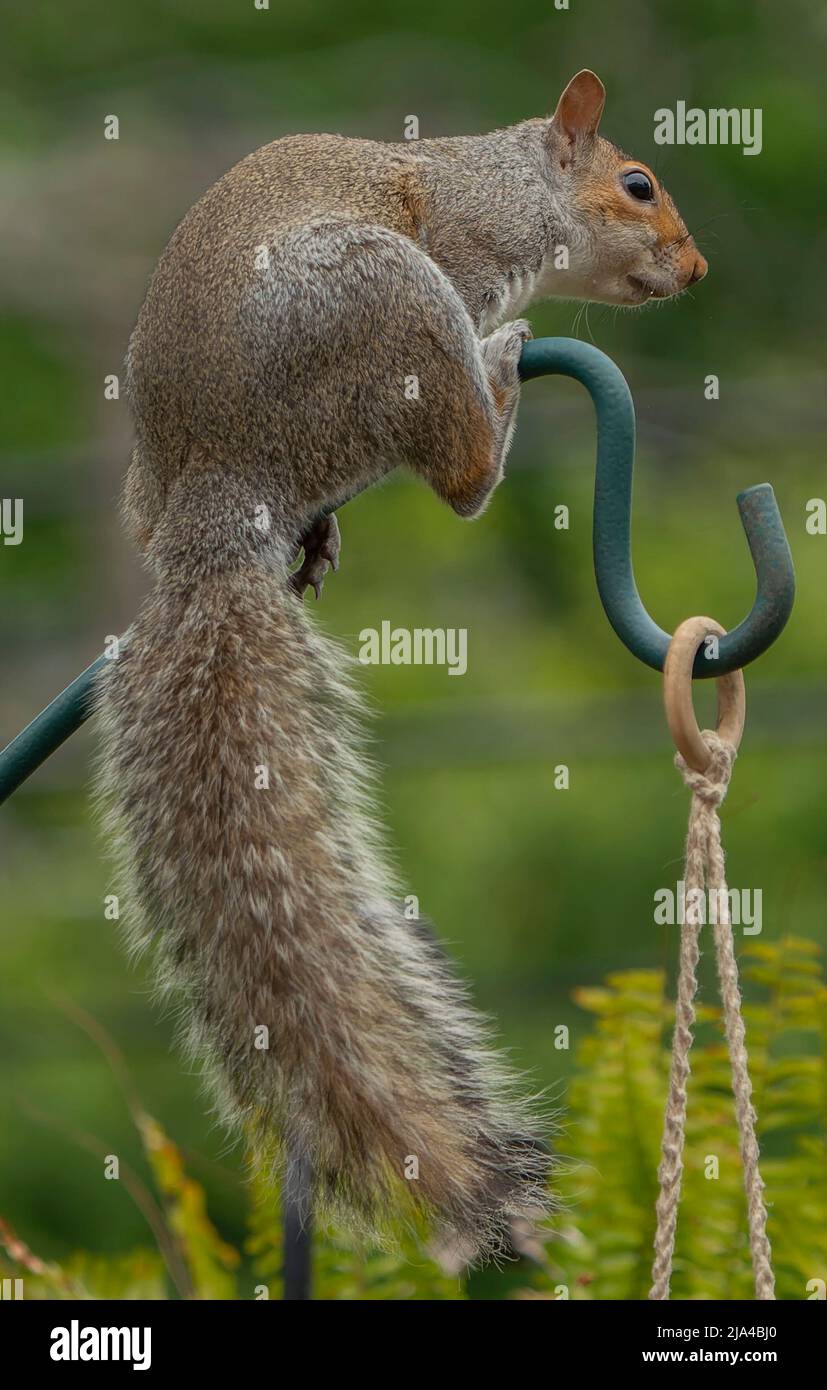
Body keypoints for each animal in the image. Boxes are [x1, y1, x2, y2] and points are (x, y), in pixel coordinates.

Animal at [95, 70, 707, 1259]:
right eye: (636, 184)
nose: (695, 268)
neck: (502, 176)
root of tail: (208, 515)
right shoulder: (468, 253)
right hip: (393, 307)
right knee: (462, 475)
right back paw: (503, 374)